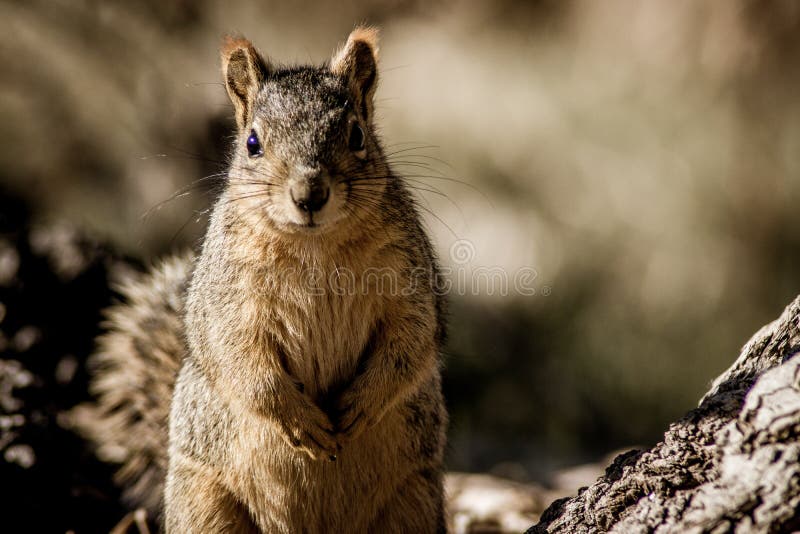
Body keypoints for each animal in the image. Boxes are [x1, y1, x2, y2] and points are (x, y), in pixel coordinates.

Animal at [73, 27, 448, 533]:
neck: (316, 246)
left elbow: (411, 343)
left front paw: (360, 405)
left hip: (412, 502)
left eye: (357, 135)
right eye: (252, 143)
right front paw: (300, 421)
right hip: (206, 505)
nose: (310, 195)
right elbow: (243, 363)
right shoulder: (229, 300)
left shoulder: (409, 283)